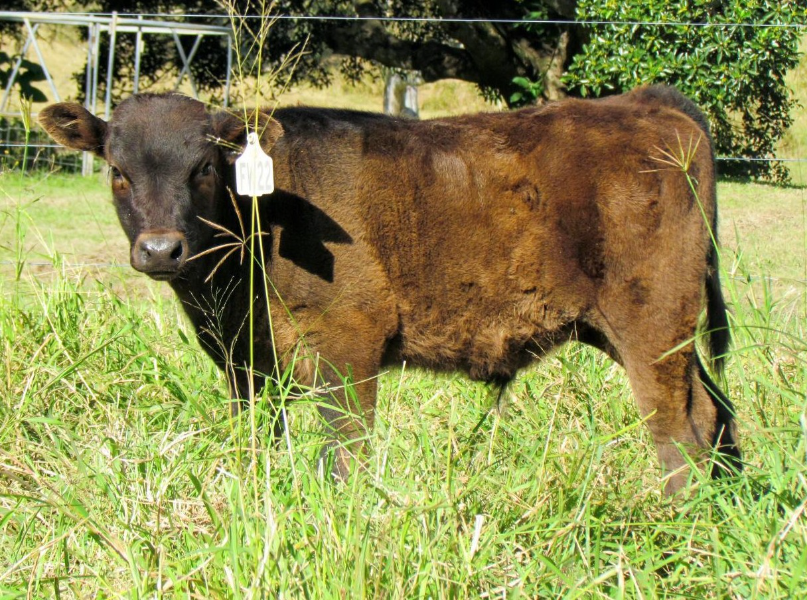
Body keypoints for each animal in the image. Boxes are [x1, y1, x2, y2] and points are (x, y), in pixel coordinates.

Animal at [39, 85, 740, 495]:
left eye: (205, 167)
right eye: (117, 171)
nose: (161, 249)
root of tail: (648, 103)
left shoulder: (347, 346)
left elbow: (344, 454)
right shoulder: (247, 366)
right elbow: (259, 443)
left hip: (653, 326)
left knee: (676, 432)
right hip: (649, 333)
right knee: (712, 414)